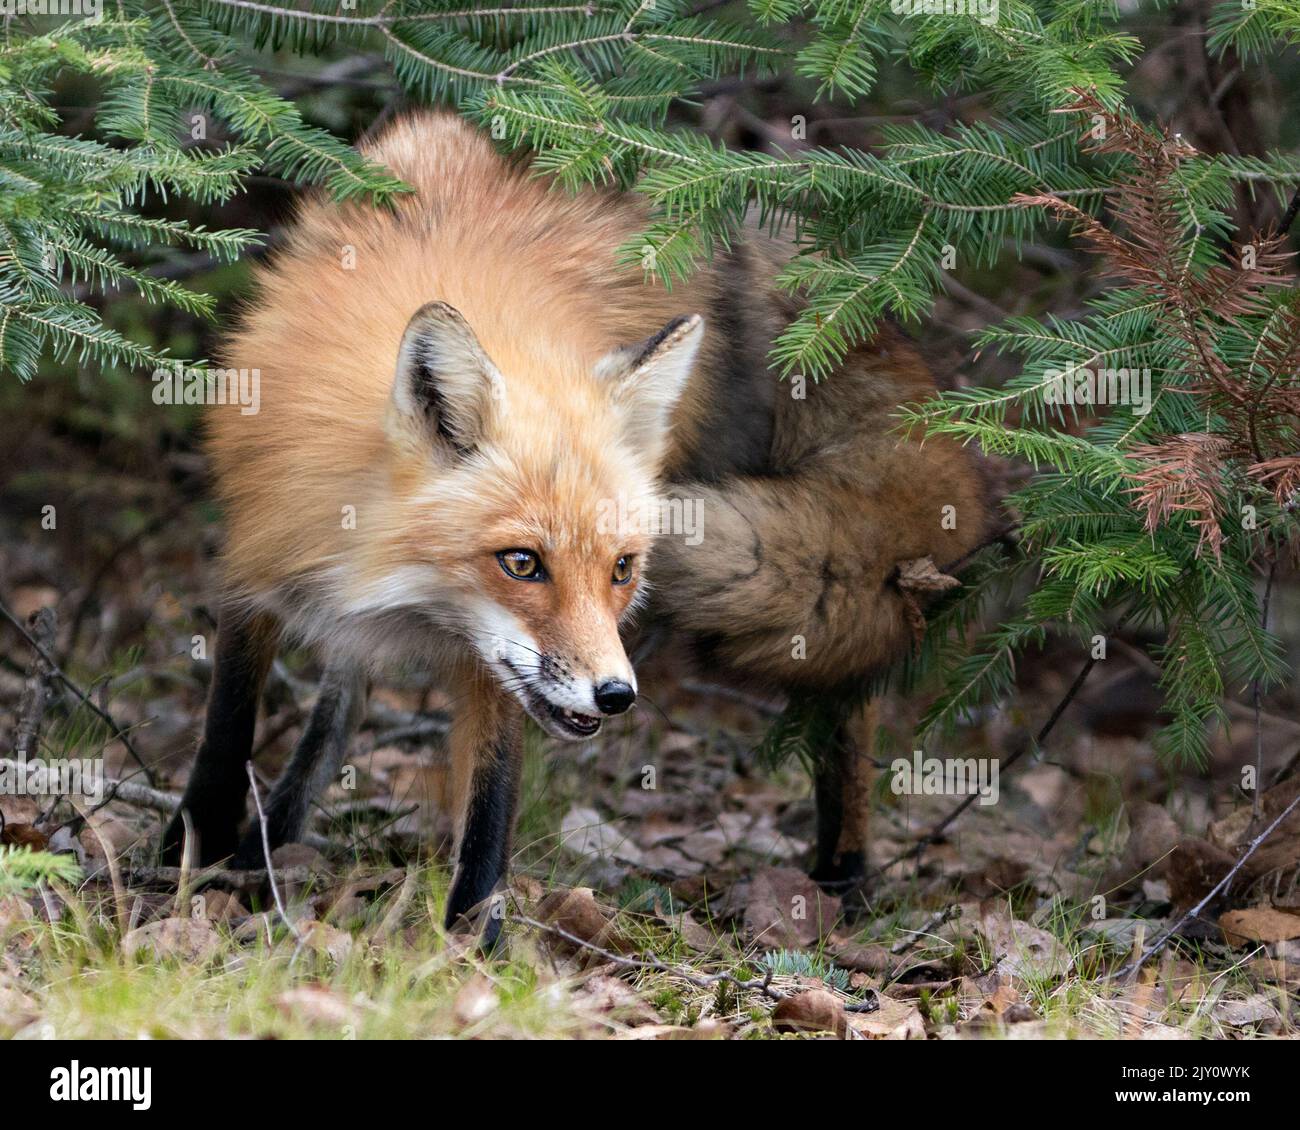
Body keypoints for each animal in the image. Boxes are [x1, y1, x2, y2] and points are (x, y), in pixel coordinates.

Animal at [160, 112, 992, 946]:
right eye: (522, 562)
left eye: (621, 569)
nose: (618, 694)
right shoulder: (261, 550)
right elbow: (229, 721)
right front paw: (193, 851)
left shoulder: (498, 666)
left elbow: (491, 796)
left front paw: (471, 941)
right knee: (343, 699)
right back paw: (274, 838)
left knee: (848, 698)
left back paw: (843, 876)